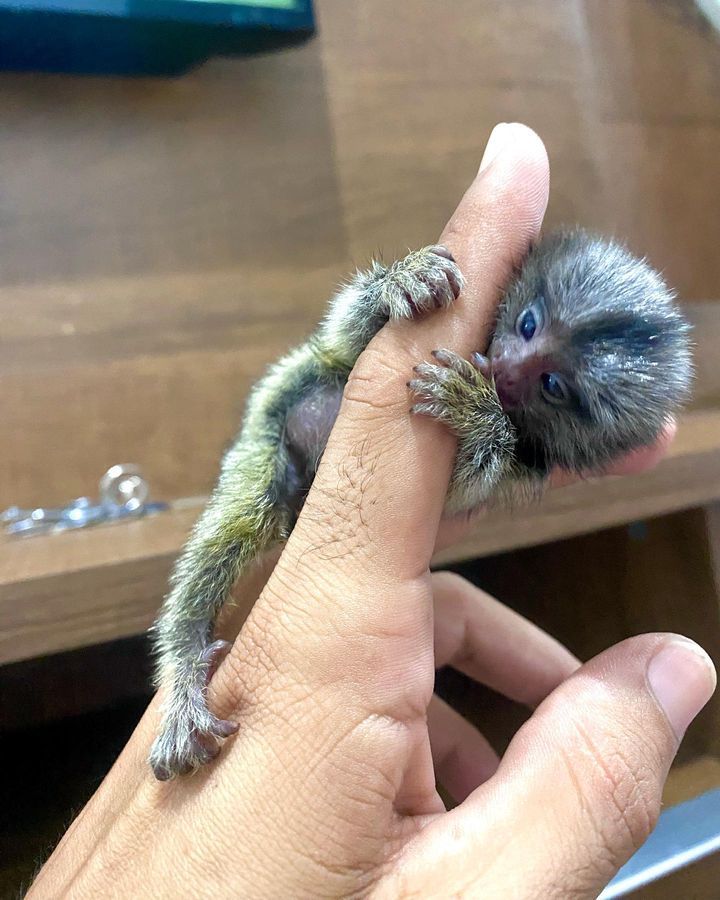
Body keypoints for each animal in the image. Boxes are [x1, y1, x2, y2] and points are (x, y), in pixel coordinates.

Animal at [149, 230, 692, 781]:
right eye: (528, 324)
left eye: (552, 386)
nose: (506, 369)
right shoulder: (335, 362)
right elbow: (345, 338)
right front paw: (402, 282)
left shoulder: (525, 461)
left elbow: (473, 478)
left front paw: (478, 412)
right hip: (263, 443)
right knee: (233, 531)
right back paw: (184, 677)